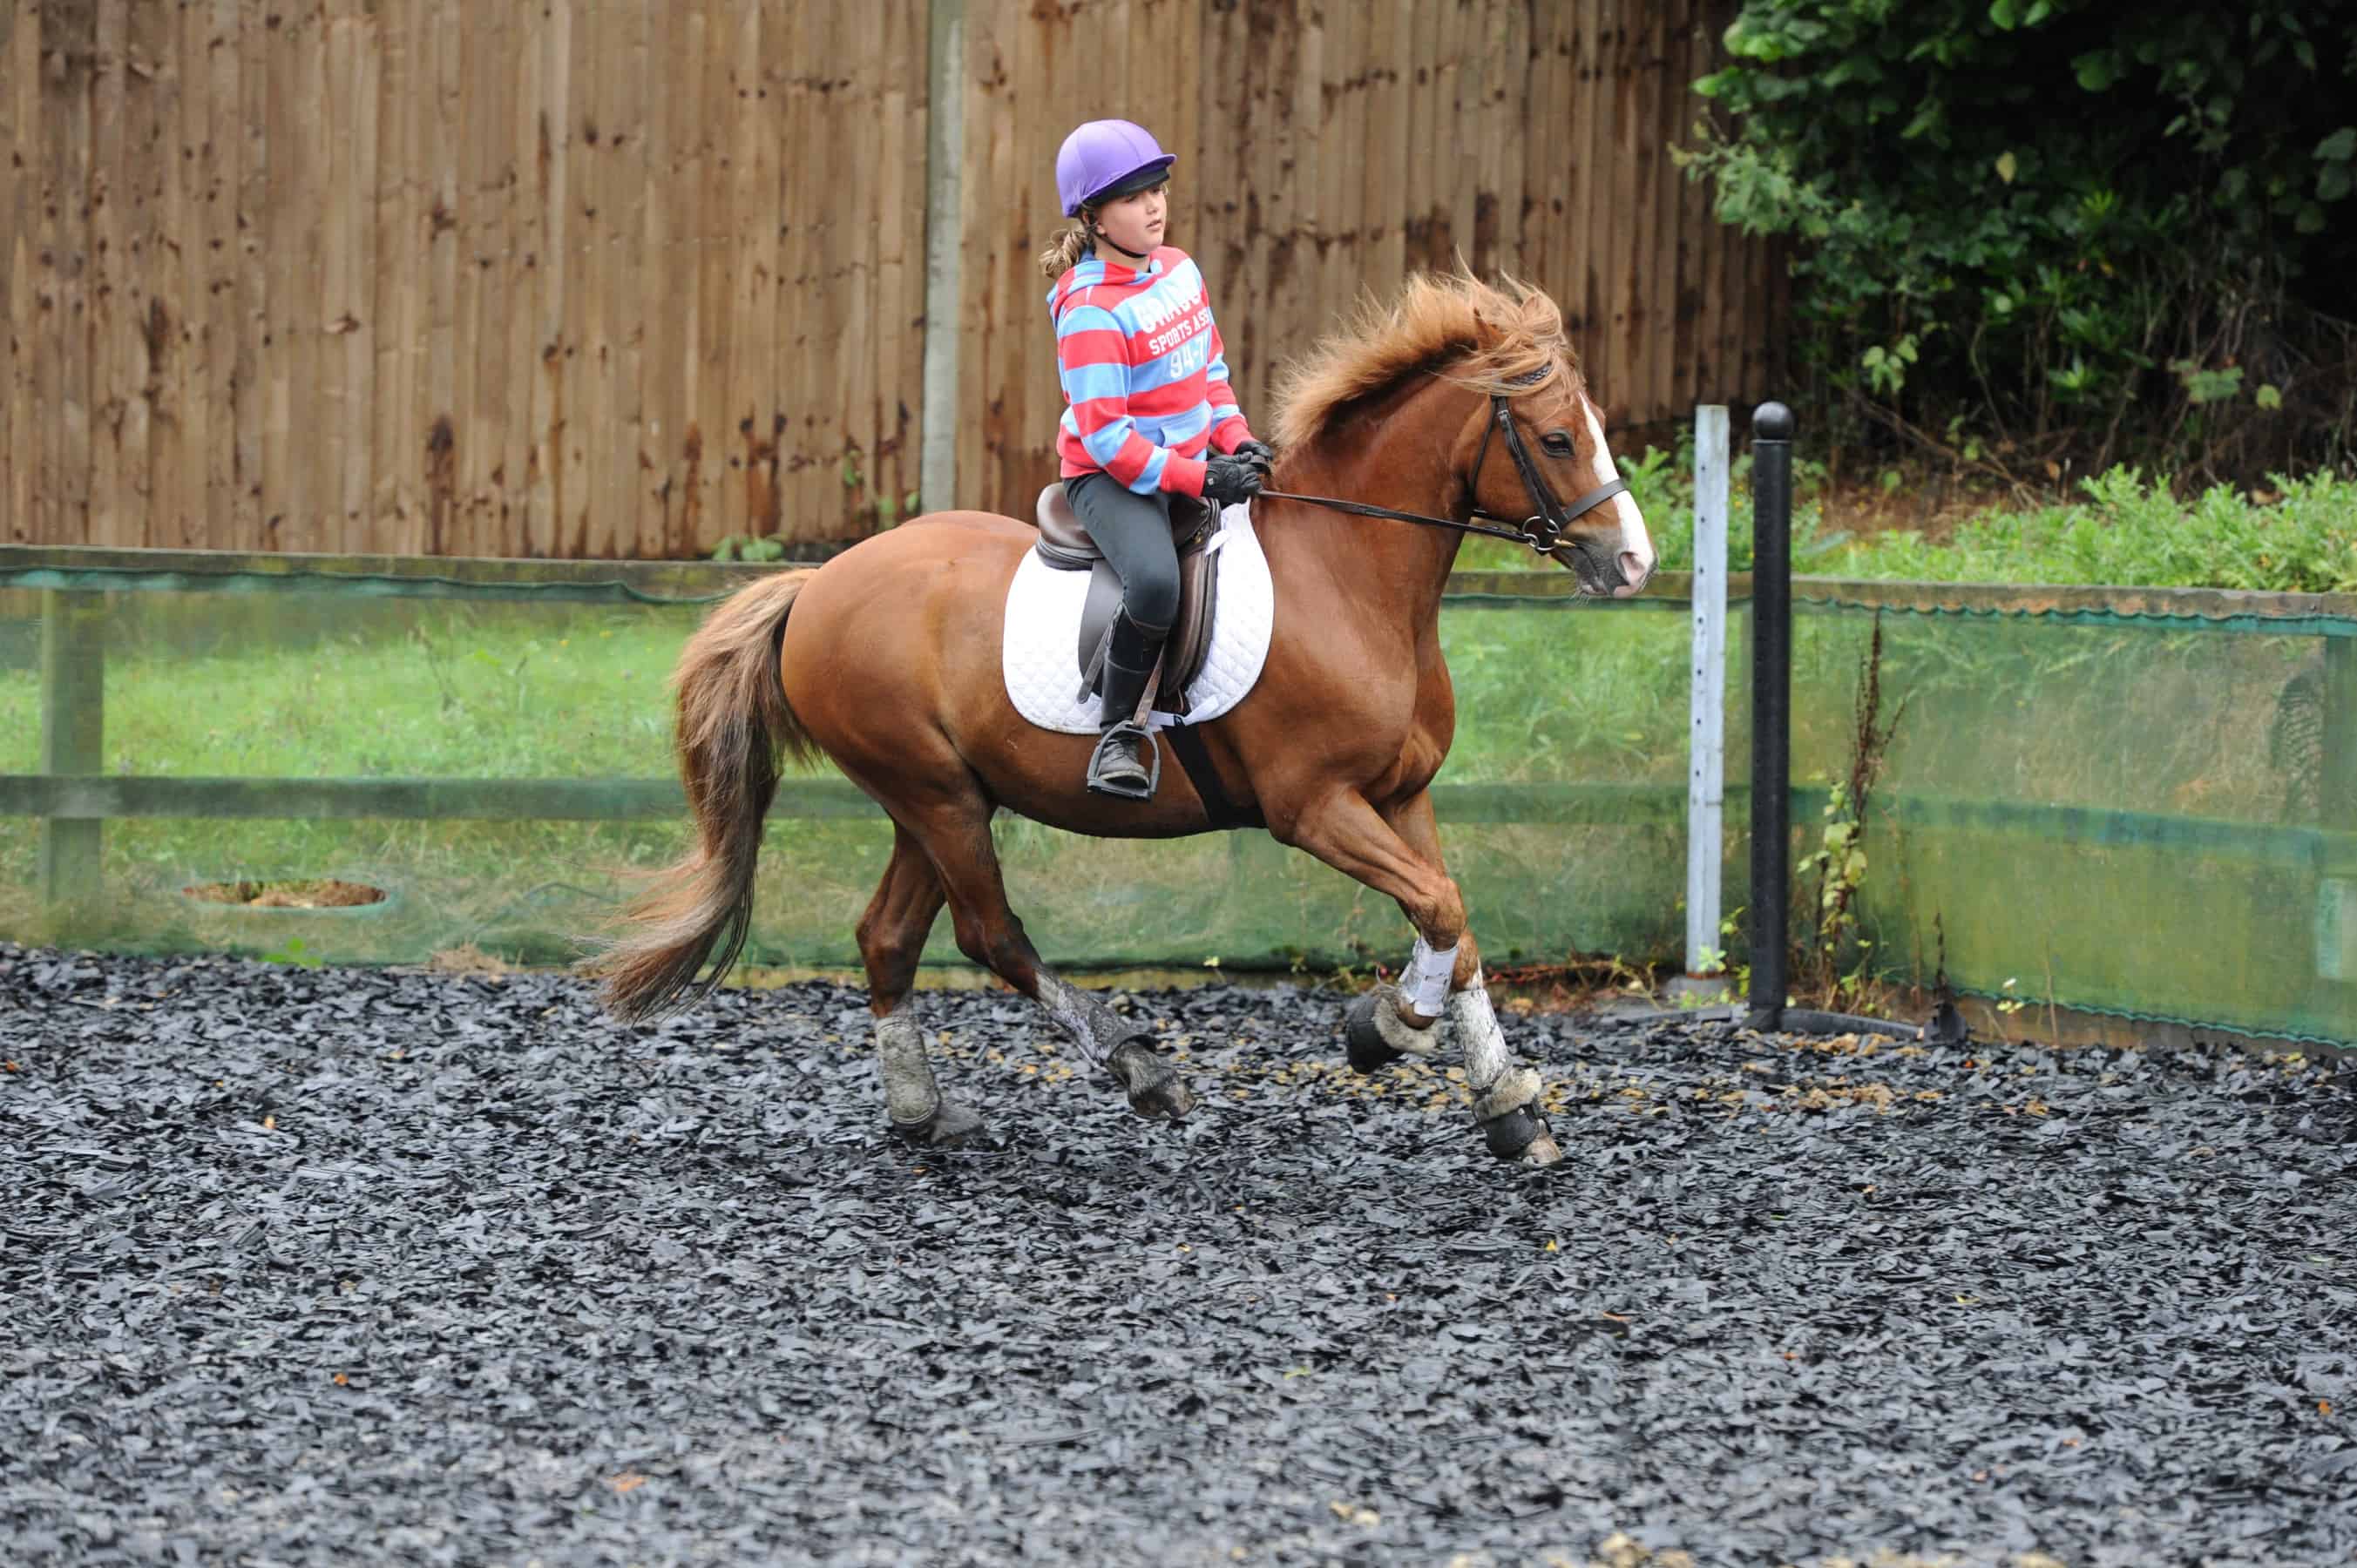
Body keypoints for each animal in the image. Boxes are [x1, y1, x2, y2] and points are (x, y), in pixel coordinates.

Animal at [593, 272, 1656, 1167]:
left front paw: (1507, 1108)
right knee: (991, 934)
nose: (1634, 563)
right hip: (936, 797)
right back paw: (1141, 1074)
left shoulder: (1402, 798)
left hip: (934, 798)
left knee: (888, 936)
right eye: (1556, 440)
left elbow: (1454, 921)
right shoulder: (1314, 809)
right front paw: (1385, 1033)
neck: (1348, 577)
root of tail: (816, 585)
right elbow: (1438, 909)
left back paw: (923, 1111)